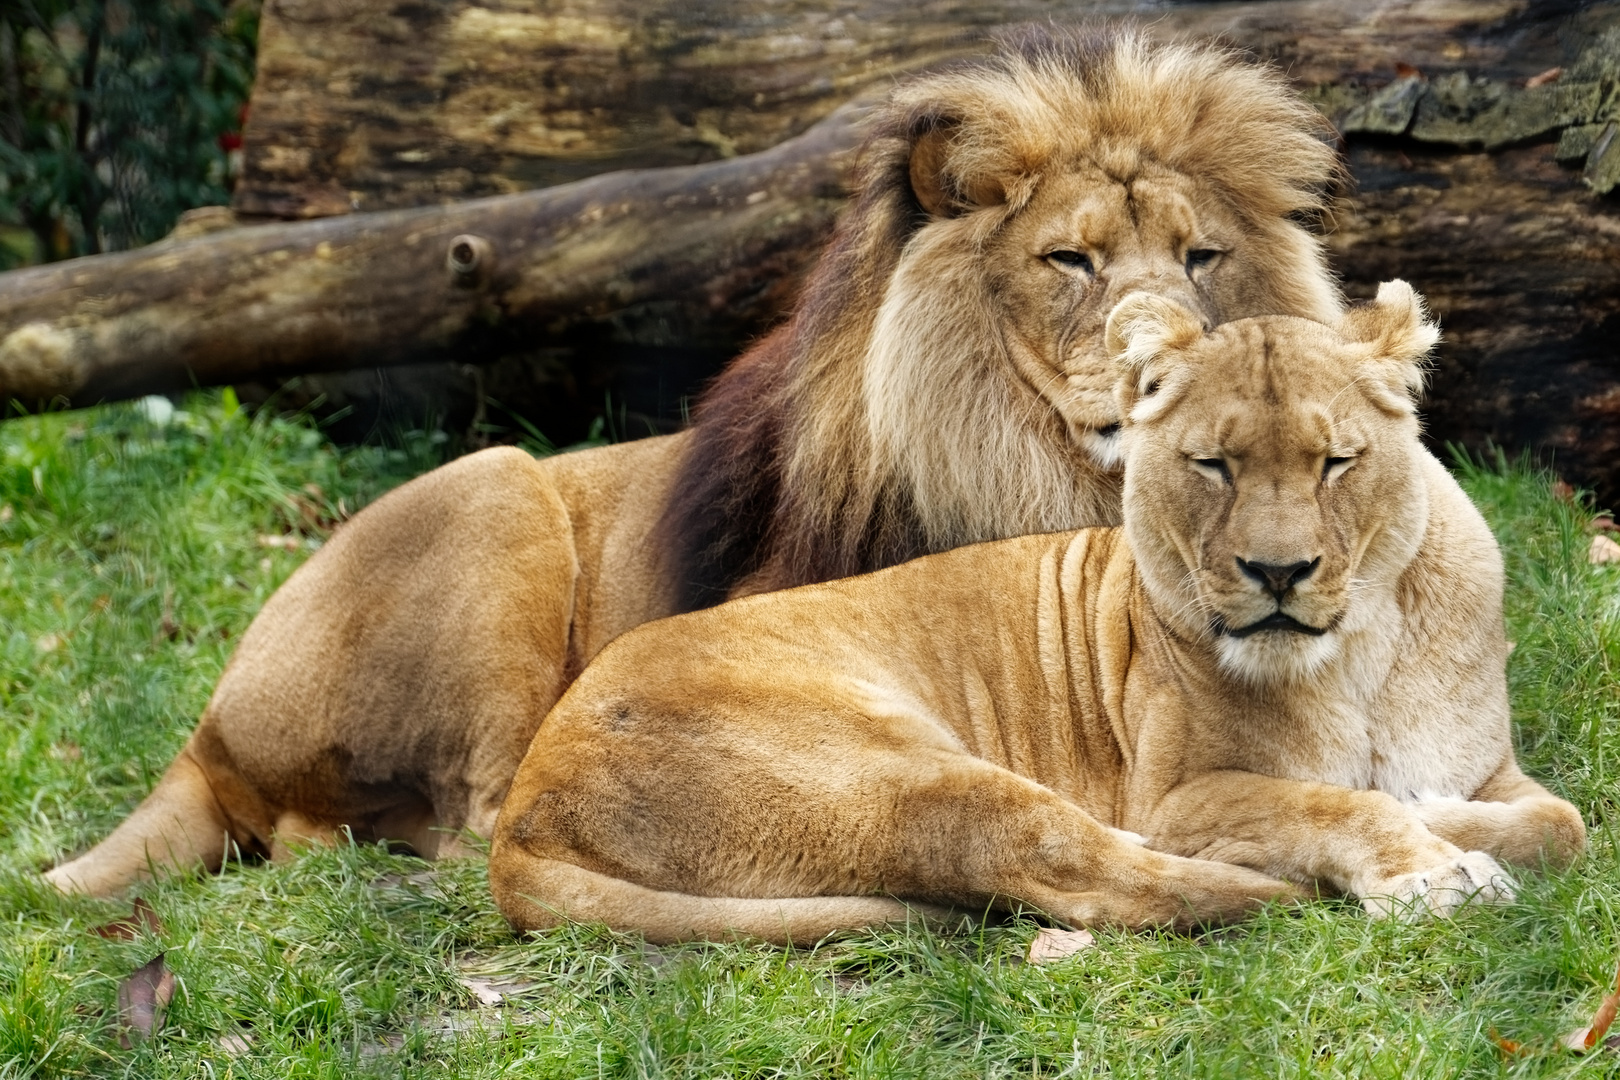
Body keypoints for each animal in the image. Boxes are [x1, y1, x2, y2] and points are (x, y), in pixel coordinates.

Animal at [48, 29, 1349, 896]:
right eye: (1071, 260)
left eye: (1201, 256)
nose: (1172, 349)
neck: (1044, 470)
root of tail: (206, 729)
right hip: (499, 485)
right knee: (452, 824)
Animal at [488, 282, 1585, 945]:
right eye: (1213, 465)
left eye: (1334, 461)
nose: (1278, 572)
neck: (1357, 654)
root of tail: (526, 799)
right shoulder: (1173, 796)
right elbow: (1332, 803)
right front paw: (1431, 866)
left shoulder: (1493, 767)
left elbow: (1560, 822)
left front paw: (1451, 824)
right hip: (907, 774)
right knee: (1095, 872)